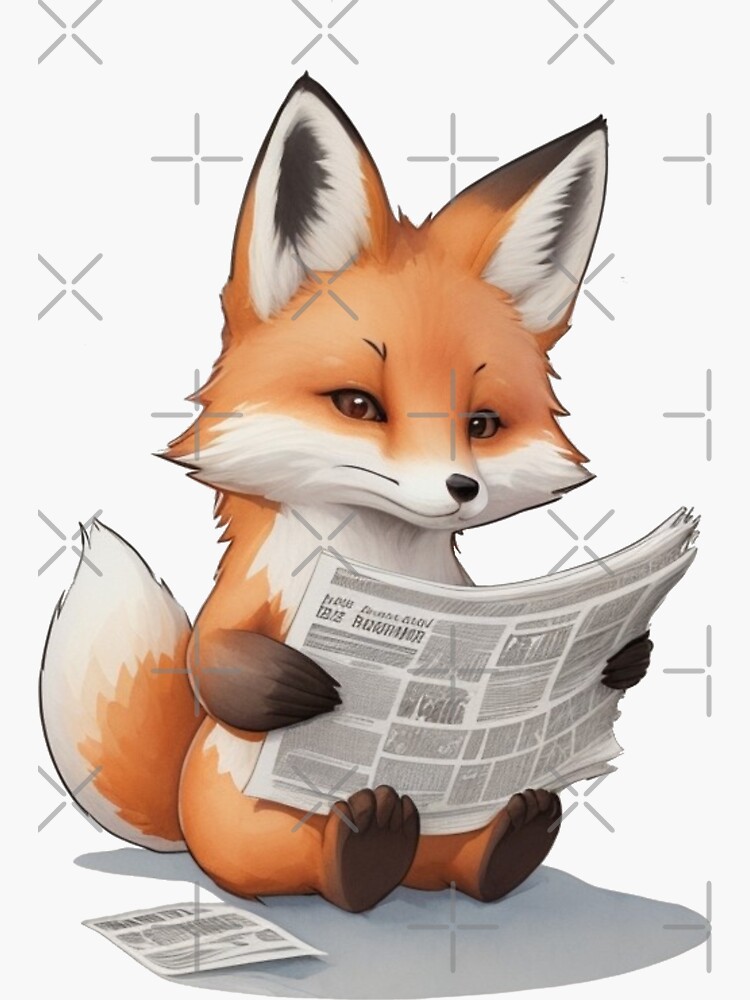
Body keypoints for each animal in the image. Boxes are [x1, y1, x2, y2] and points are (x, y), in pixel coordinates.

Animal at [40, 75, 653, 913]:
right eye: (359, 405)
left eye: (481, 424)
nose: (461, 488)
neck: (378, 553)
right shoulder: (251, 595)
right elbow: (211, 656)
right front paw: (298, 685)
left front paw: (623, 657)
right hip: (255, 824)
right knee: (308, 872)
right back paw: (364, 849)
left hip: (462, 820)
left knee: (465, 858)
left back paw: (511, 840)